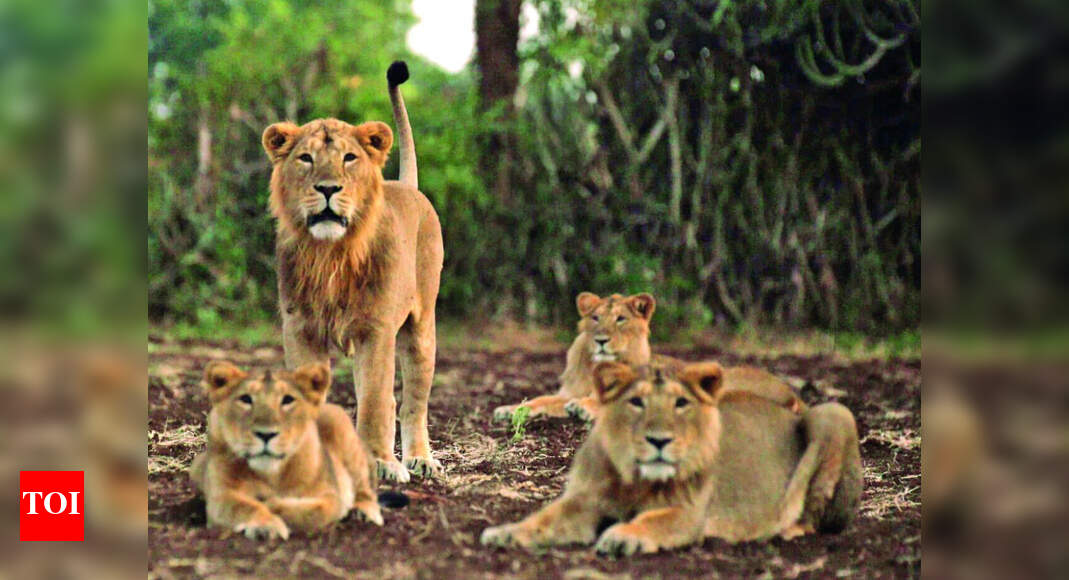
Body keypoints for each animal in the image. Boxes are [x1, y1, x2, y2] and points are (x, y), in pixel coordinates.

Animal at [189, 361, 384, 540]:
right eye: (246, 399)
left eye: (288, 399)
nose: (266, 434)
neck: (271, 474)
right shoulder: (220, 495)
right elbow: (244, 506)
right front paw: (265, 525)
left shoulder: (330, 496)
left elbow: (314, 511)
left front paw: (272, 505)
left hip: (341, 427)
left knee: (365, 488)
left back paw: (364, 512)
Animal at [261, 61, 442, 482]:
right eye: (305, 158)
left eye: (348, 158)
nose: (328, 188)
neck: (330, 254)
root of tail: (407, 186)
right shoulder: (300, 329)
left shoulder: (376, 330)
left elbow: (375, 401)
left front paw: (380, 464)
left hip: (421, 330)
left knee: (411, 402)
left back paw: (419, 459)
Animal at [480, 359, 861, 555]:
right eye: (636, 402)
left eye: (681, 404)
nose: (659, 440)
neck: (633, 478)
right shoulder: (584, 500)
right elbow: (544, 518)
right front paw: (506, 533)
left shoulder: (689, 514)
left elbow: (653, 520)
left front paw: (622, 535)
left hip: (834, 413)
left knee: (814, 514)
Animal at [492, 292, 804, 423]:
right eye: (595, 318)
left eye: (620, 319)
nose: (601, 339)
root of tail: (793, 393)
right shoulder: (568, 391)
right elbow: (541, 400)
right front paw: (508, 410)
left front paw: (582, 409)